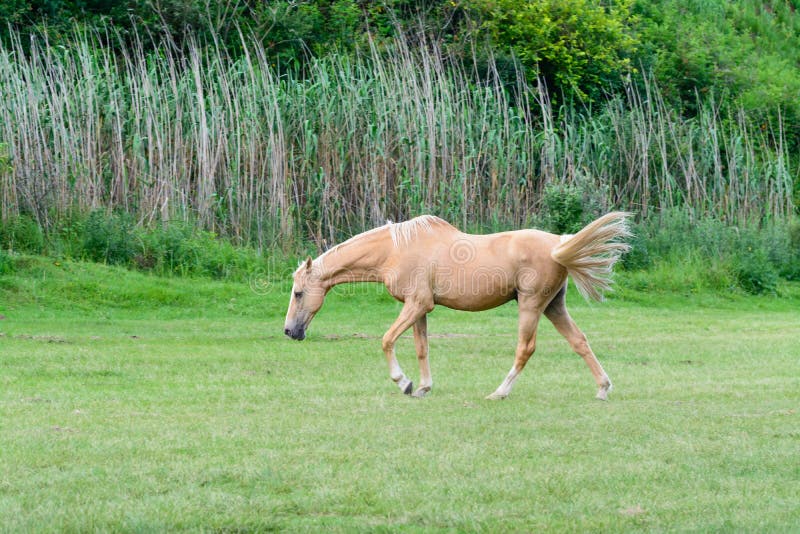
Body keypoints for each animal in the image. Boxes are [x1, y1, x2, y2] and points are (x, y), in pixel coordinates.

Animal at [284, 212, 631, 400]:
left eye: (299, 293)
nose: (289, 331)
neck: (395, 249)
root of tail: (559, 246)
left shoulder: (417, 304)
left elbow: (387, 340)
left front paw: (404, 383)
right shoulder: (419, 308)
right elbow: (421, 348)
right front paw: (423, 387)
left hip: (531, 306)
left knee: (525, 349)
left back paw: (499, 392)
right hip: (553, 307)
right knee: (579, 342)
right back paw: (603, 388)